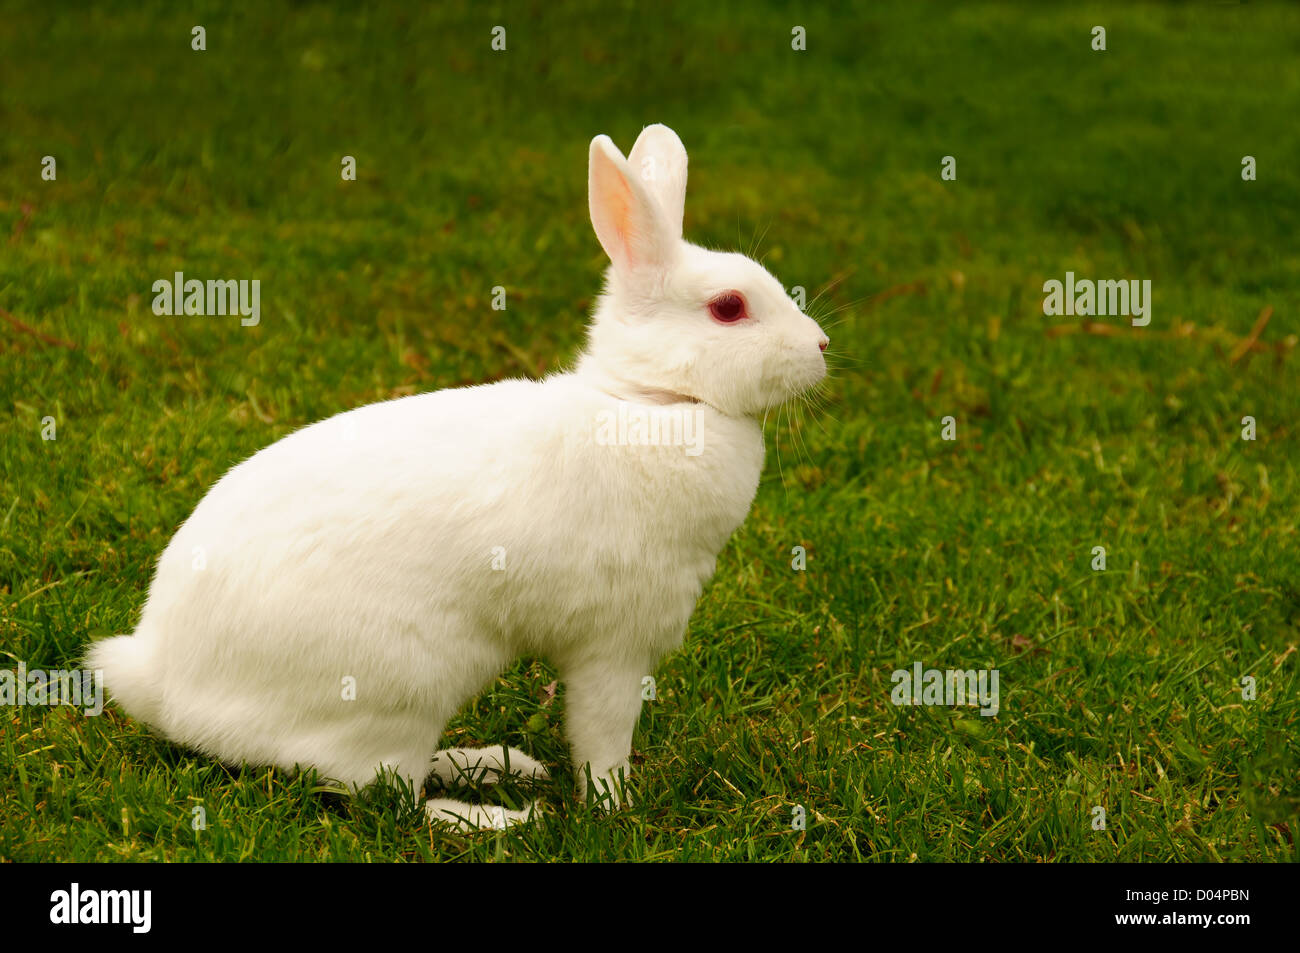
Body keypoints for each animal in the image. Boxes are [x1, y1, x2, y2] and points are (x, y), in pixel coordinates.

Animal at [86, 124, 829, 830]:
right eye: (729, 307)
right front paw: (616, 808)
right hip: (399, 690)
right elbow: (601, 736)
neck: (654, 402)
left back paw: (499, 763)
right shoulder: (613, 645)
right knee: (388, 797)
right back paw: (499, 815)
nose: (822, 347)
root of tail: (161, 683)